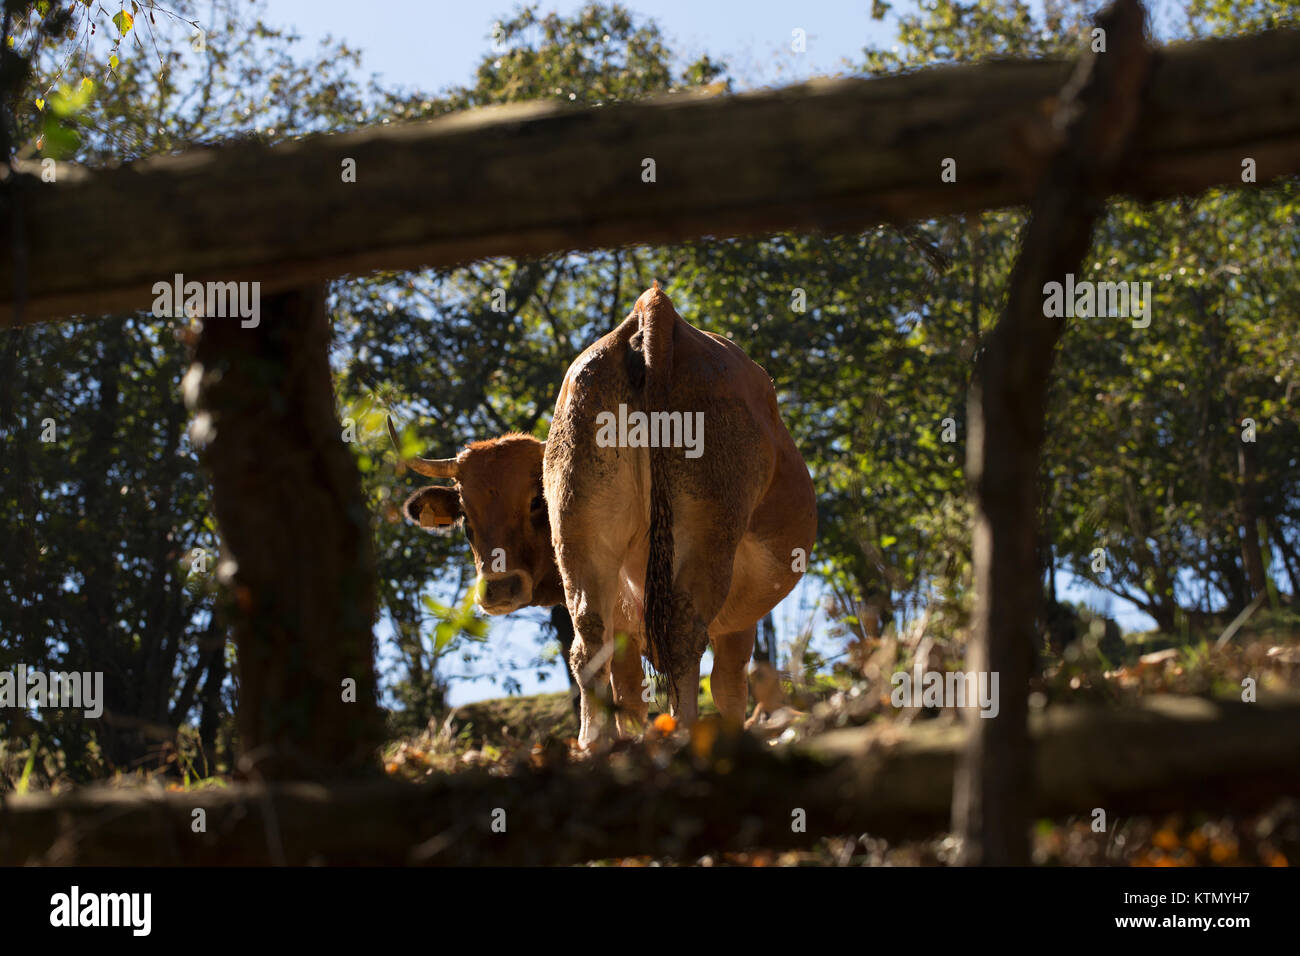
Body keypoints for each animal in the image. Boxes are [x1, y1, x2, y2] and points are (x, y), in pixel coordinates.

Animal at [392, 284, 816, 748]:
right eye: (465, 516)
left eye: (536, 503)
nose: (499, 587)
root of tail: (653, 308)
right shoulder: (737, 622)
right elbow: (727, 691)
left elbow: (632, 696)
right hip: (707, 541)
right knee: (683, 638)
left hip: (584, 539)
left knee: (588, 643)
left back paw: (593, 743)